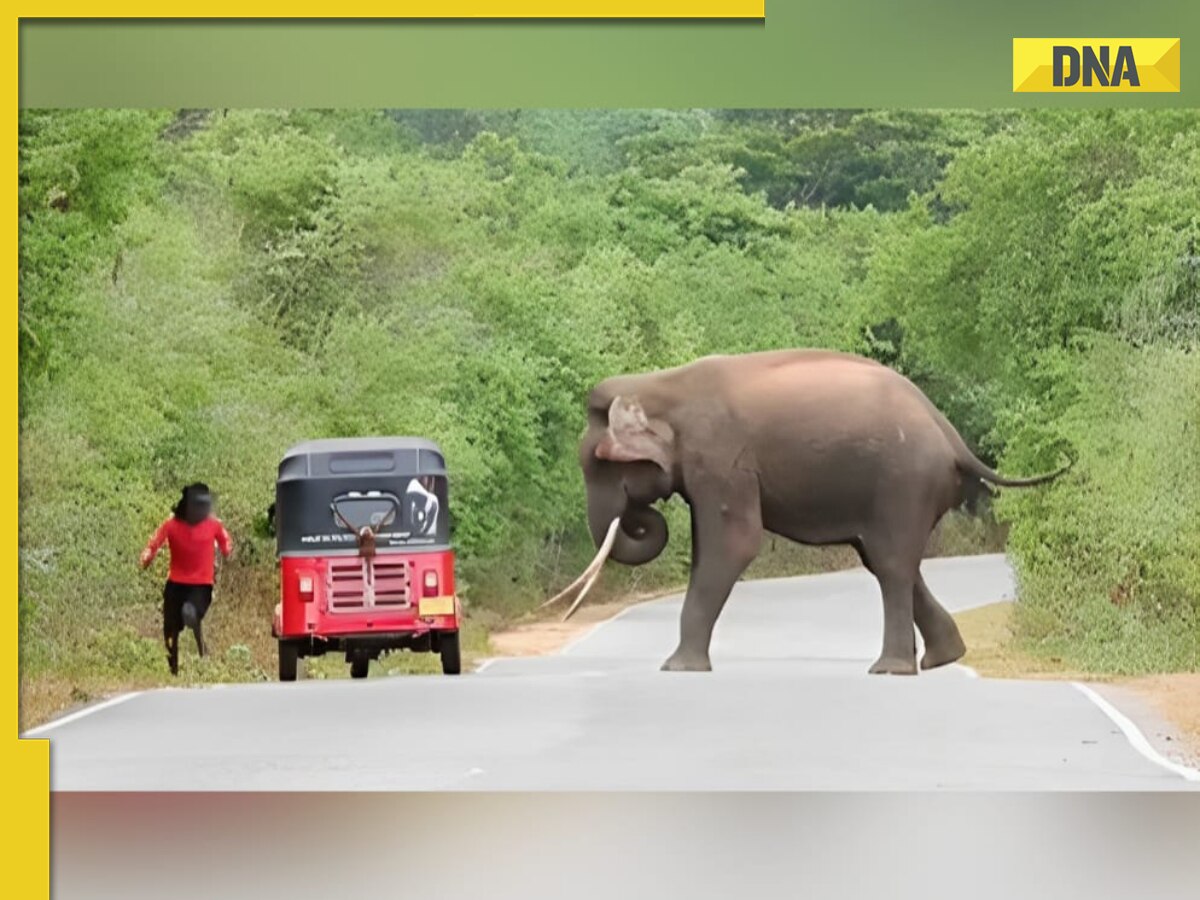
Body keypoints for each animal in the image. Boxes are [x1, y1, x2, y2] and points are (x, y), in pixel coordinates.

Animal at [547, 349, 1069, 675]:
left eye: (597, 466)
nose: (638, 515)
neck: (659, 384)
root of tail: (952, 437)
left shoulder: (721, 459)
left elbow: (735, 545)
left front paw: (675, 668)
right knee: (885, 560)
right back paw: (944, 659)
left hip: (904, 481)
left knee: (892, 563)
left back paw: (890, 670)